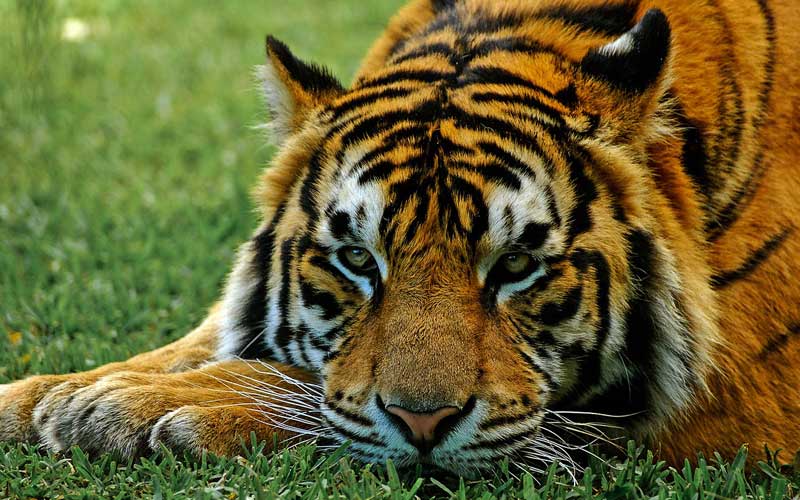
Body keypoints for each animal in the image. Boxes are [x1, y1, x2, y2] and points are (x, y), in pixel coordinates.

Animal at [1, 0, 799, 477]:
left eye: (516, 265)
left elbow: (301, 382)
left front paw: (135, 404)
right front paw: (52, 392)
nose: (424, 424)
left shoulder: (741, 394)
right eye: (358, 259)